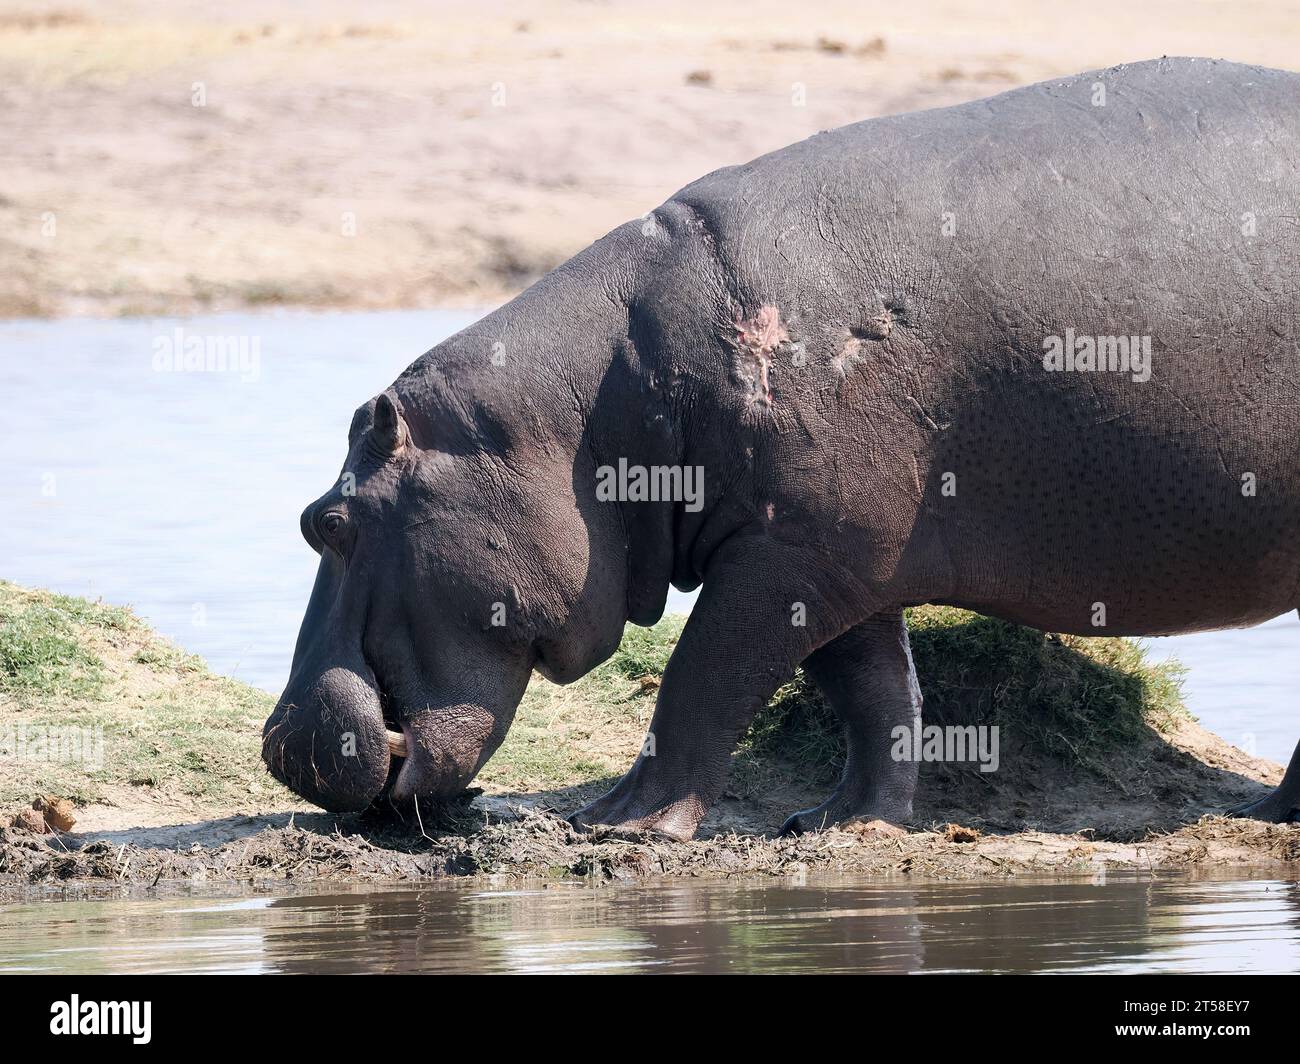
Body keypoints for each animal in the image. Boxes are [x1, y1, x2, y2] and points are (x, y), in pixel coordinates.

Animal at [262, 57, 1300, 840]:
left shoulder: (786, 557)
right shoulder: (831, 555)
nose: (275, 740)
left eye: (327, 522)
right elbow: (875, 692)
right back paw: (1271, 814)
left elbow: (704, 679)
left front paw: (618, 824)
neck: (578, 415)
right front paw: (838, 823)